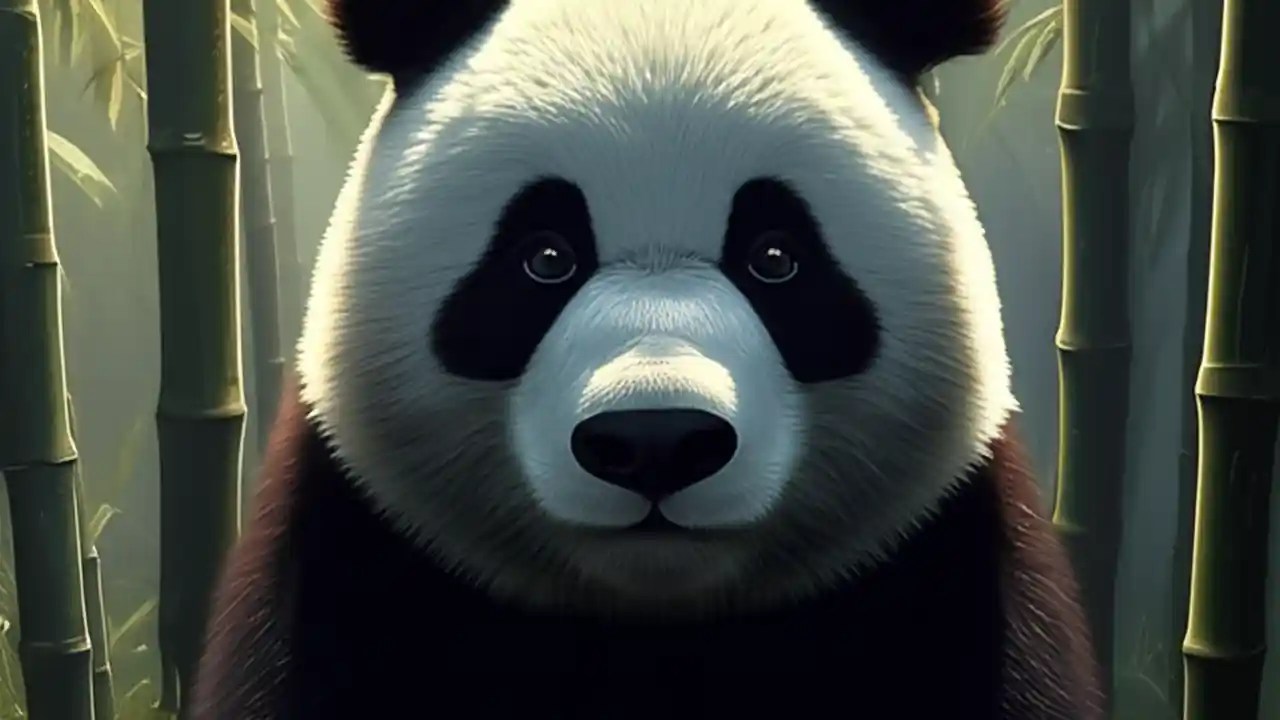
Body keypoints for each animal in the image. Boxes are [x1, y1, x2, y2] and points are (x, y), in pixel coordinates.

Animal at [192, 0, 1102, 718]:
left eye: (776, 257)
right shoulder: (341, 562)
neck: (652, 621)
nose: (655, 441)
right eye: (544, 257)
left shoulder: (960, 574)